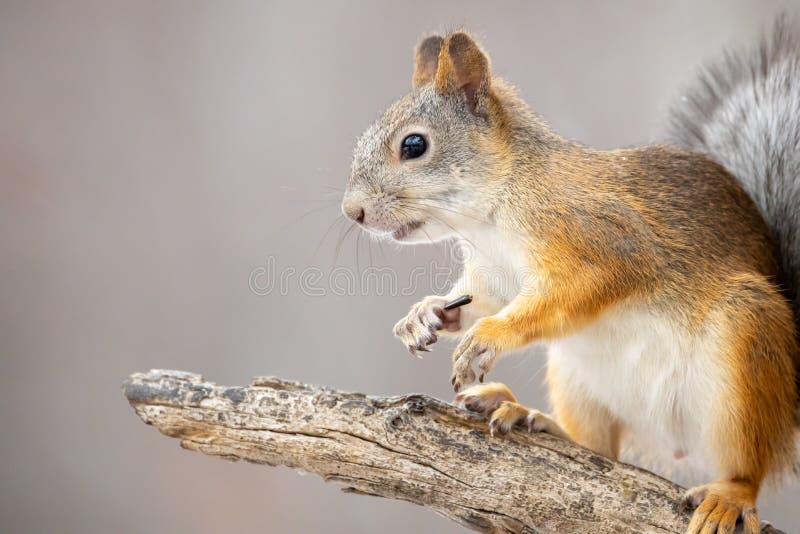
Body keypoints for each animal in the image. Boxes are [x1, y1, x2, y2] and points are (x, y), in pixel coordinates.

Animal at [341, 19, 800, 534]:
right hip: (577, 377)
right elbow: (478, 299)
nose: (352, 212)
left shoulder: (600, 245)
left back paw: (729, 495)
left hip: (746, 348)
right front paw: (424, 315)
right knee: (598, 448)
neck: (492, 215)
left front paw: (489, 336)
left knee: (748, 465)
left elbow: (562, 297)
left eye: (414, 145)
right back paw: (524, 412)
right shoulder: (494, 277)